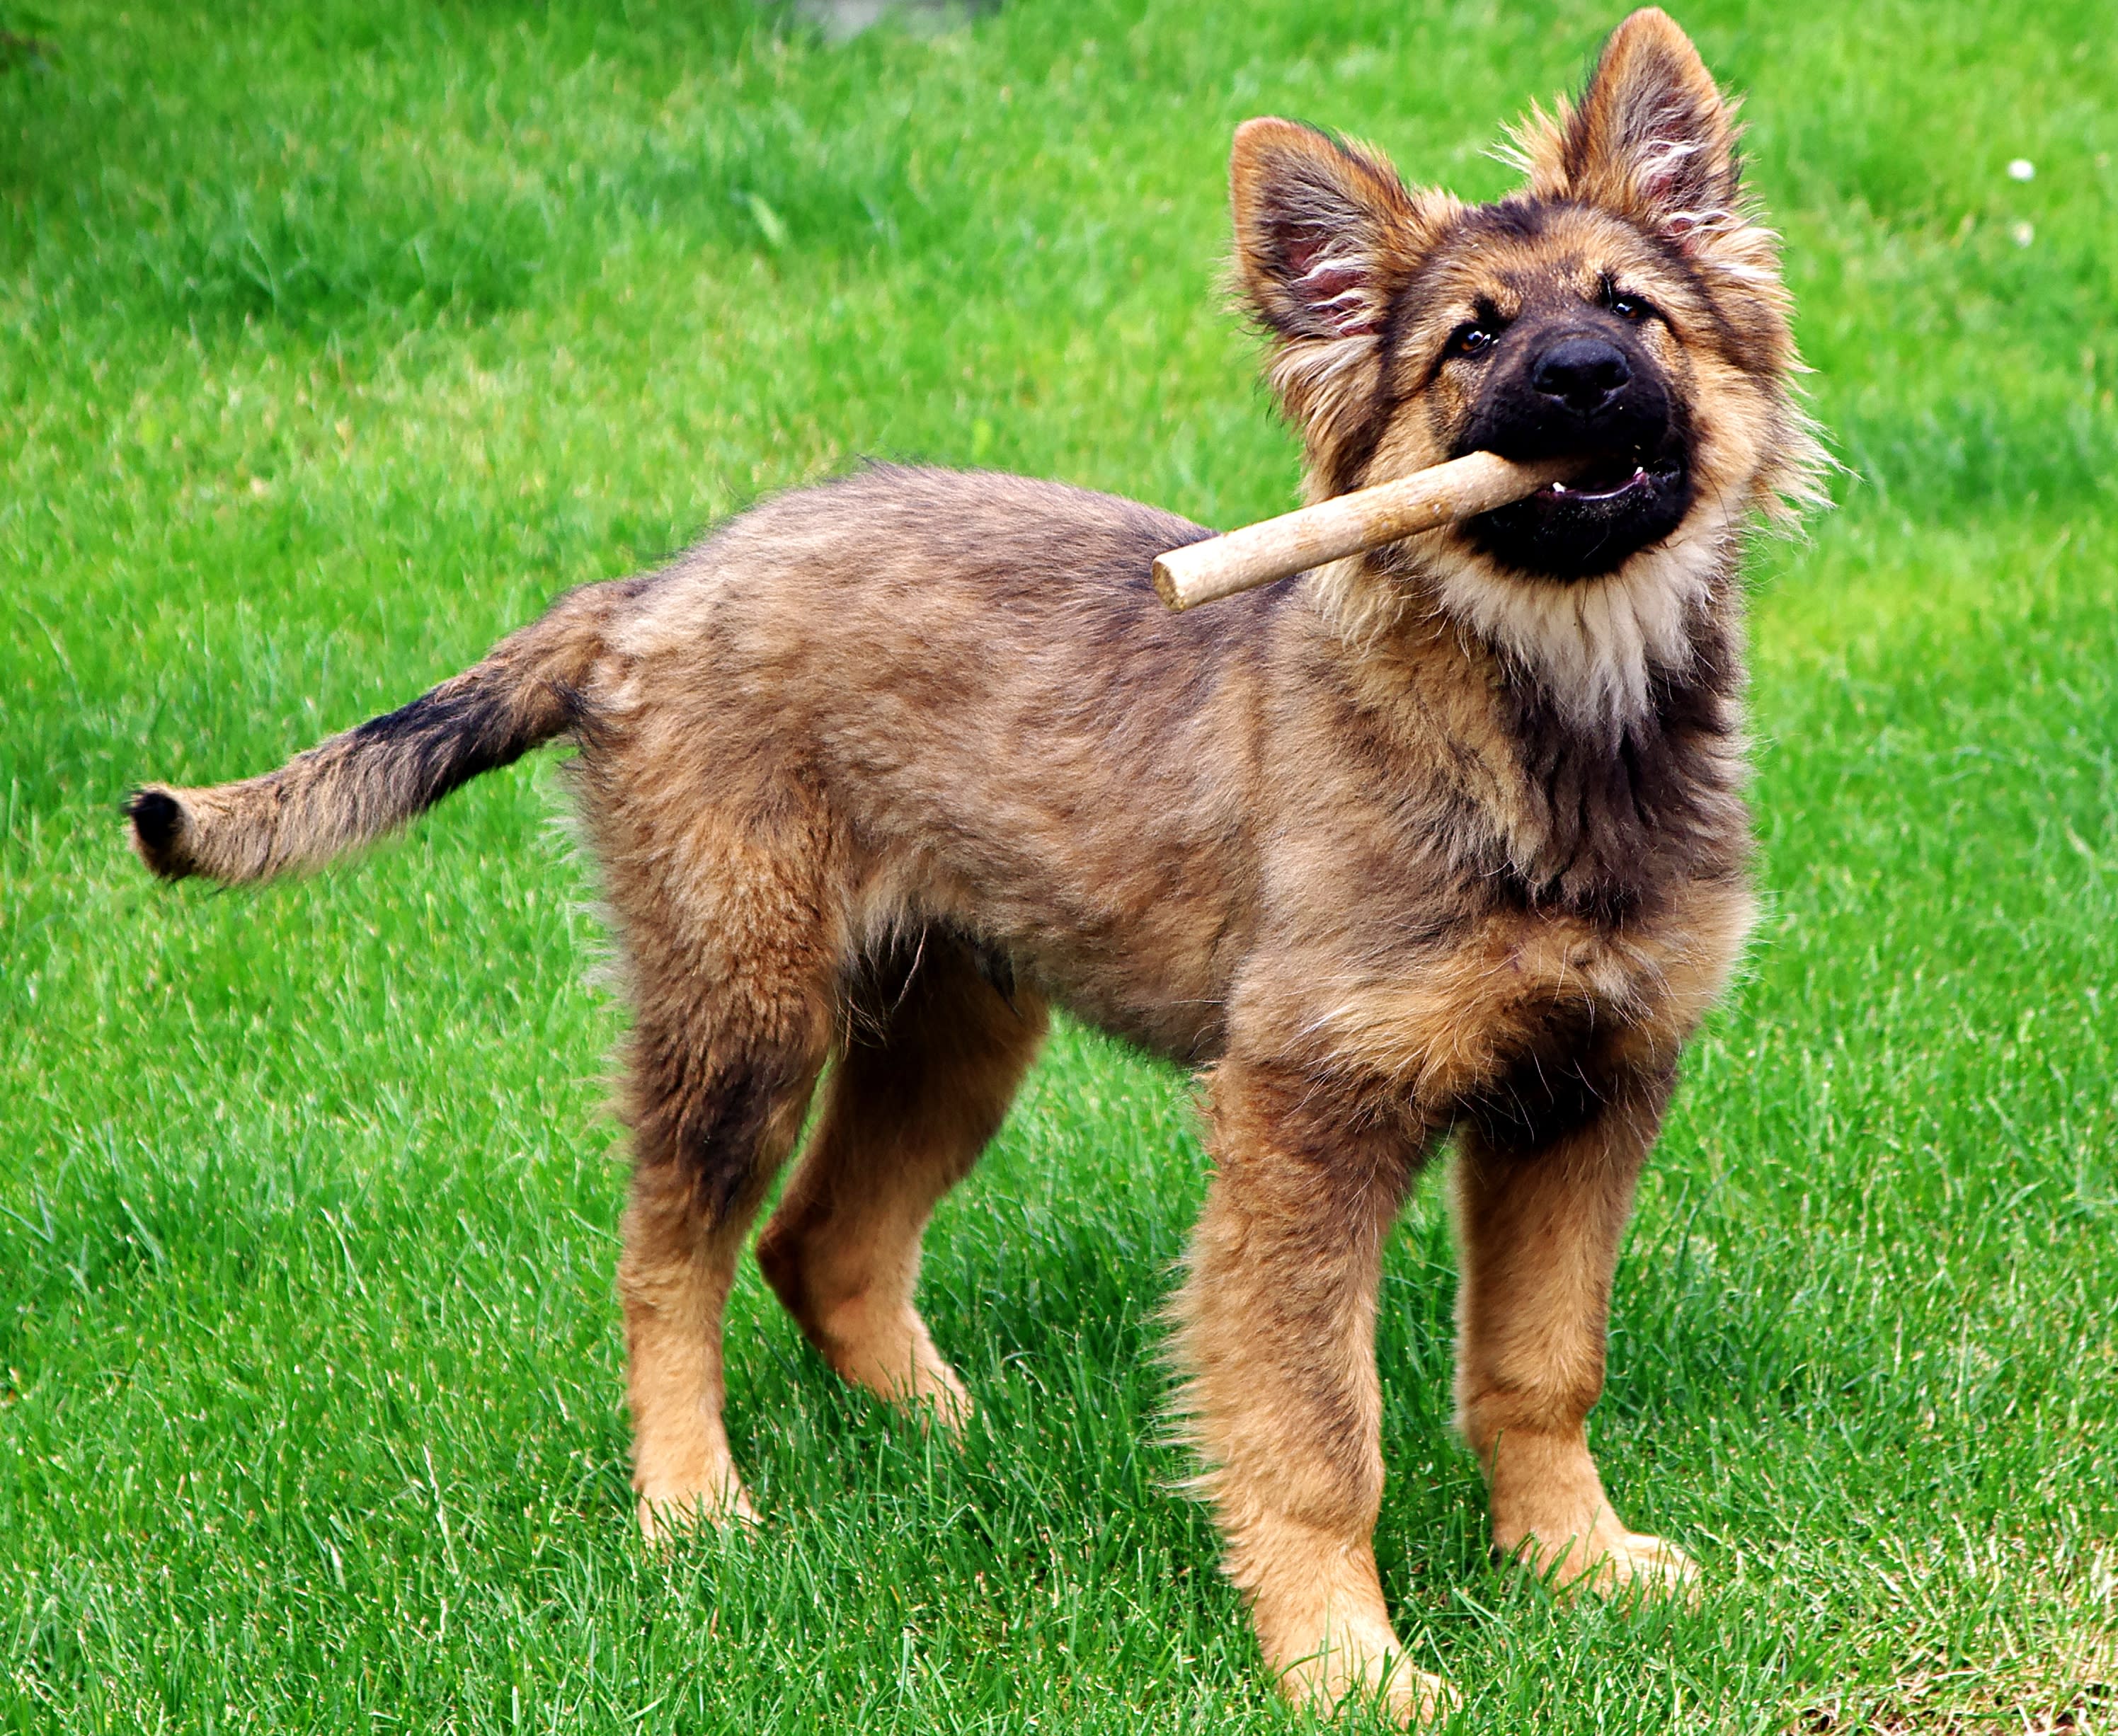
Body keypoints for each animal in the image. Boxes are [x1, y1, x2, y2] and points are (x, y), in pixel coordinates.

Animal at [127, 9, 1821, 1721]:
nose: (1582, 378)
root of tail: (639, 597)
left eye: (1632, 309)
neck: (1546, 719)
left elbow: (1540, 1364)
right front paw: (1345, 1660)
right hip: (744, 1008)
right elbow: (1313, 1429)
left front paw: (1574, 1563)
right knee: (669, 1257)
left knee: (821, 1242)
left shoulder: (1591, 1086)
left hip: (952, 1019)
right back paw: (690, 1499)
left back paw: (949, 1437)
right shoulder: (1306, 1116)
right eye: (1469, 342)